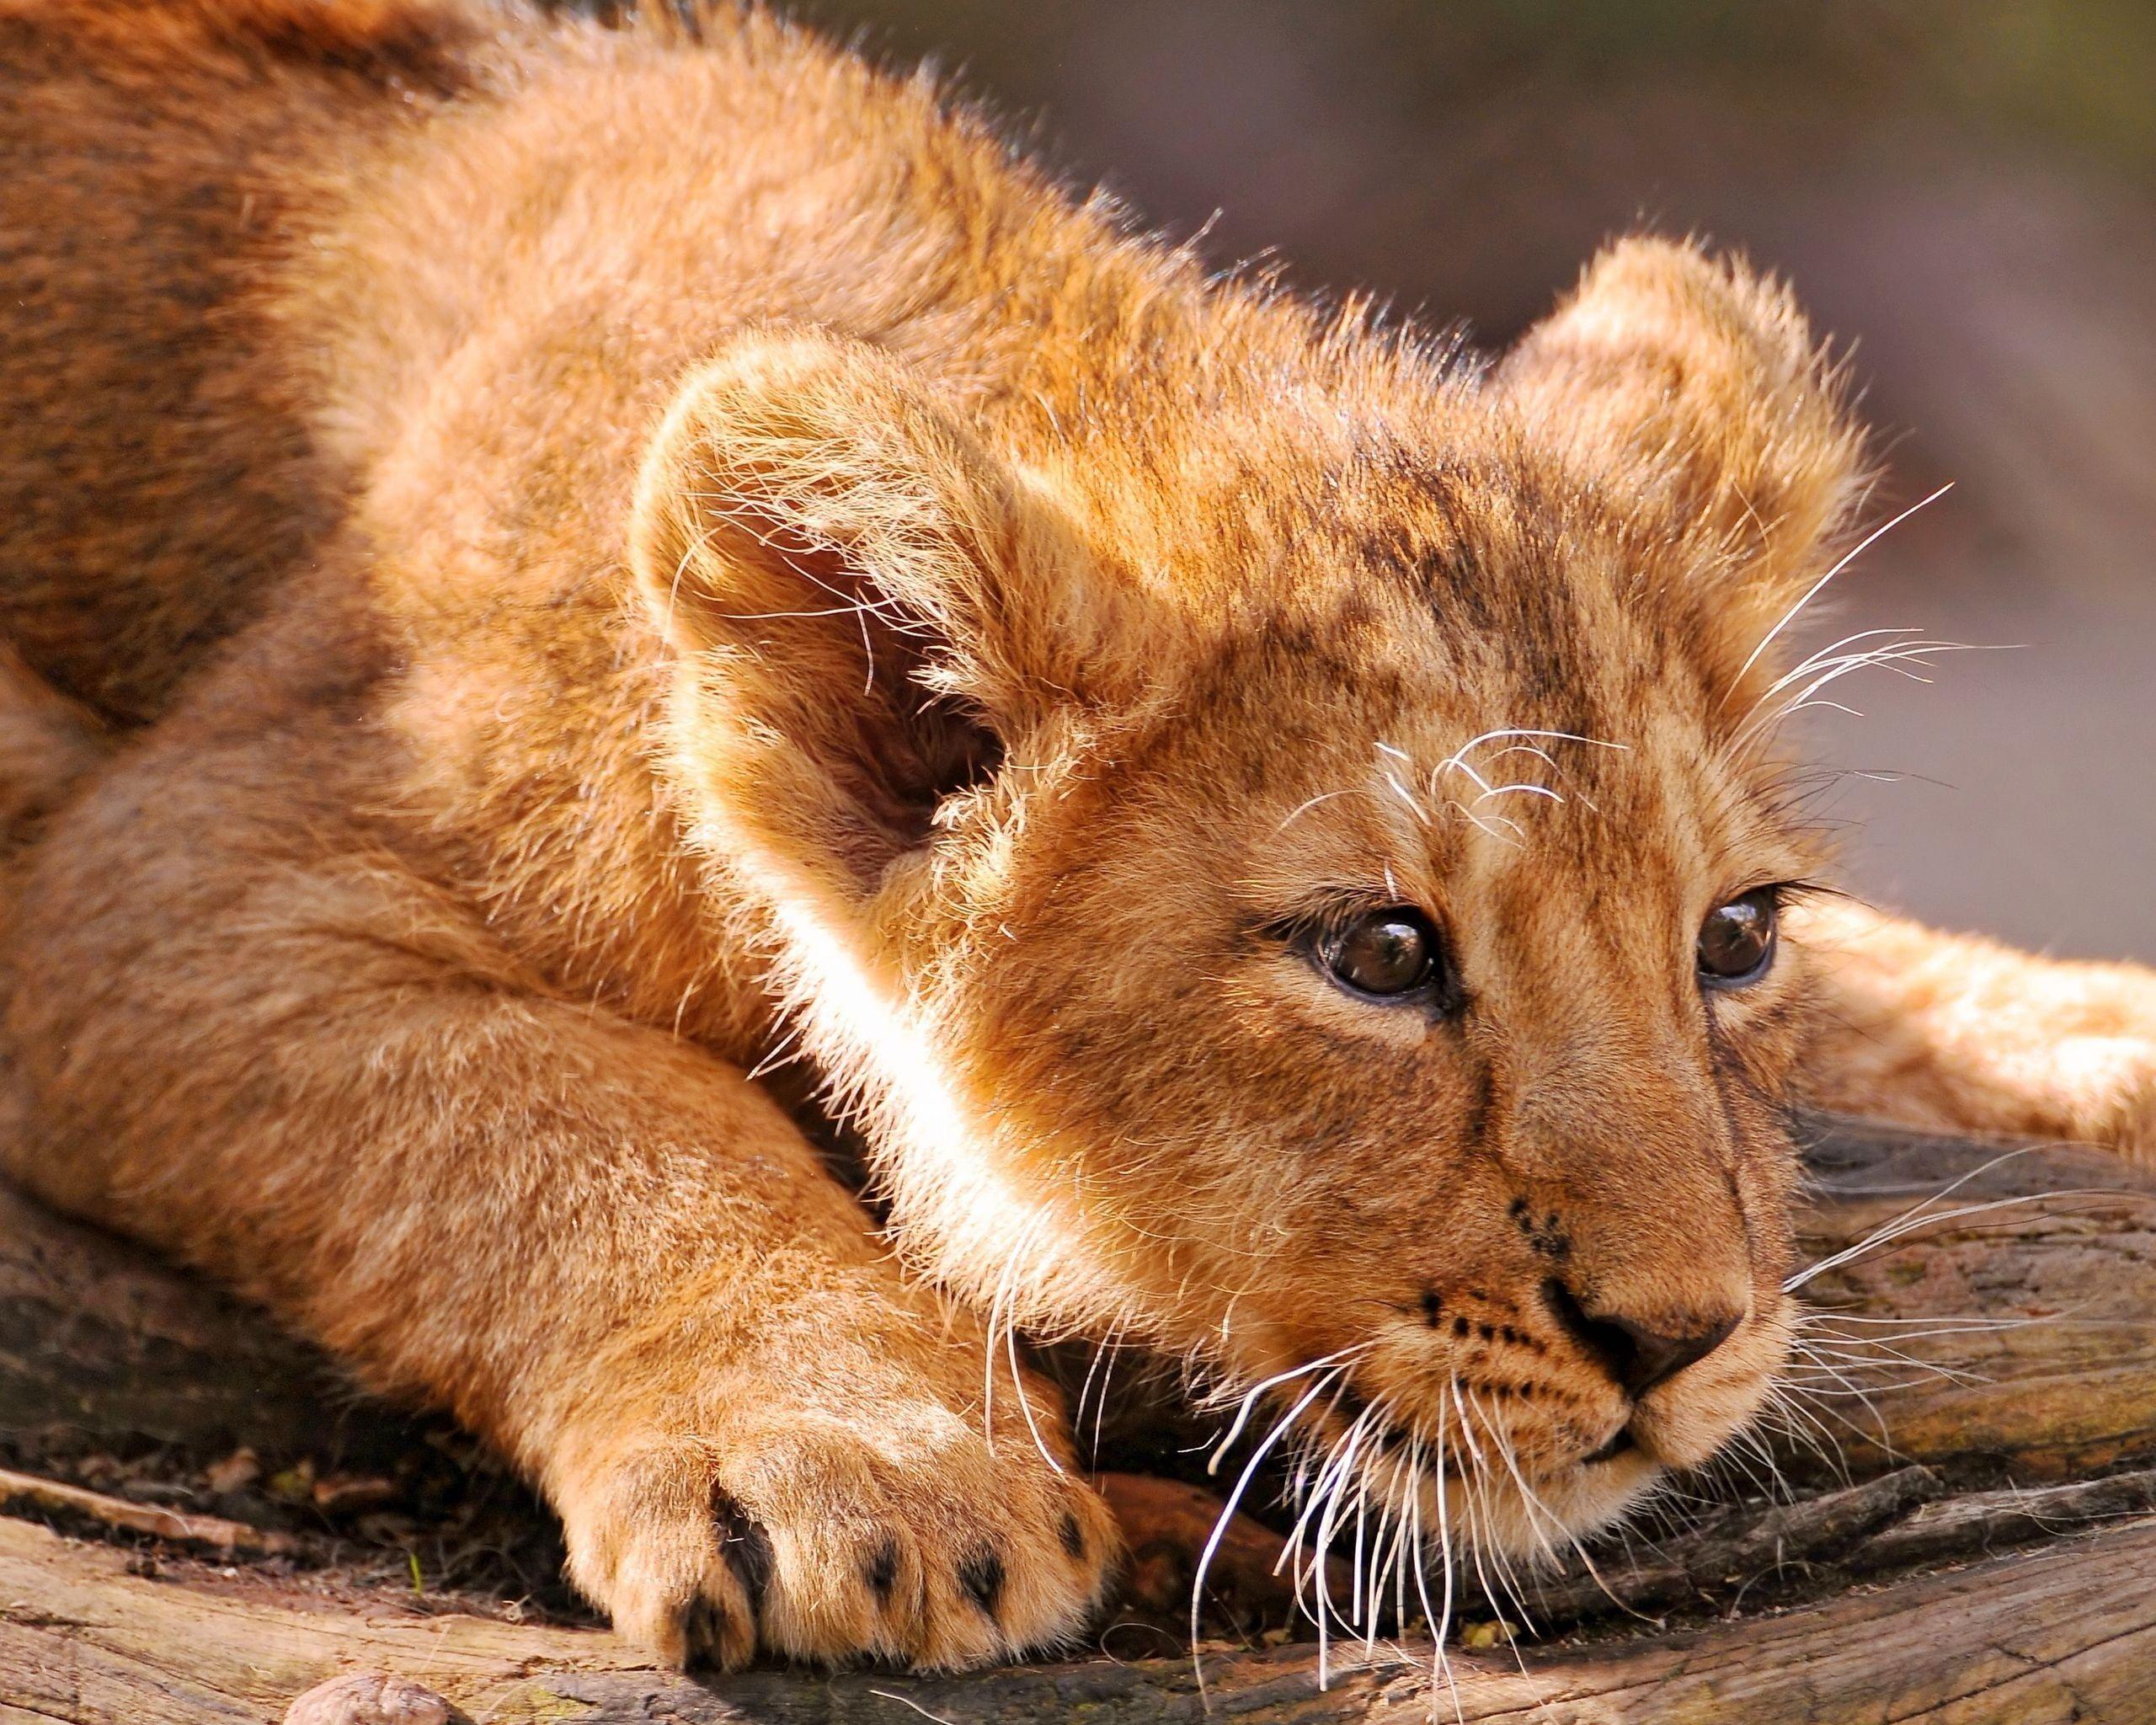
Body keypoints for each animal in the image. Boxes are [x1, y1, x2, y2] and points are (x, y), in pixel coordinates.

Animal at [1, 0, 2150, 1673]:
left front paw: (2092, 1040)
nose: (1680, 1340)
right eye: (1377, 953)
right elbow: (553, 1100)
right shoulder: (159, 875)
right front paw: (859, 1455)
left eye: (1733, 937)